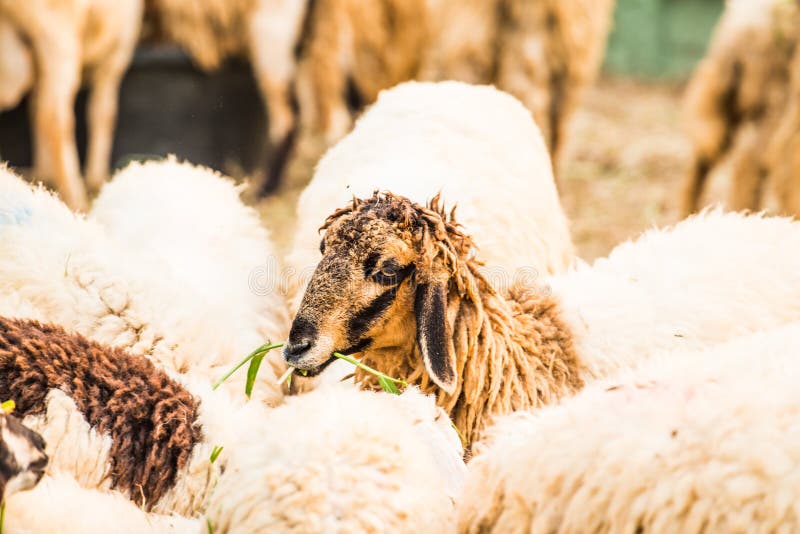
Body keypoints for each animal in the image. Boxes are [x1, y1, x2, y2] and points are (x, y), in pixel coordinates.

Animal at [0, 0, 143, 210]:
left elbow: (103, 113)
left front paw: (96, 180)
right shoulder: (119, 42)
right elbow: (102, 114)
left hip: (20, 58)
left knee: (42, 108)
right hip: (56, 34)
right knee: (53, 117)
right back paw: (77, 202)